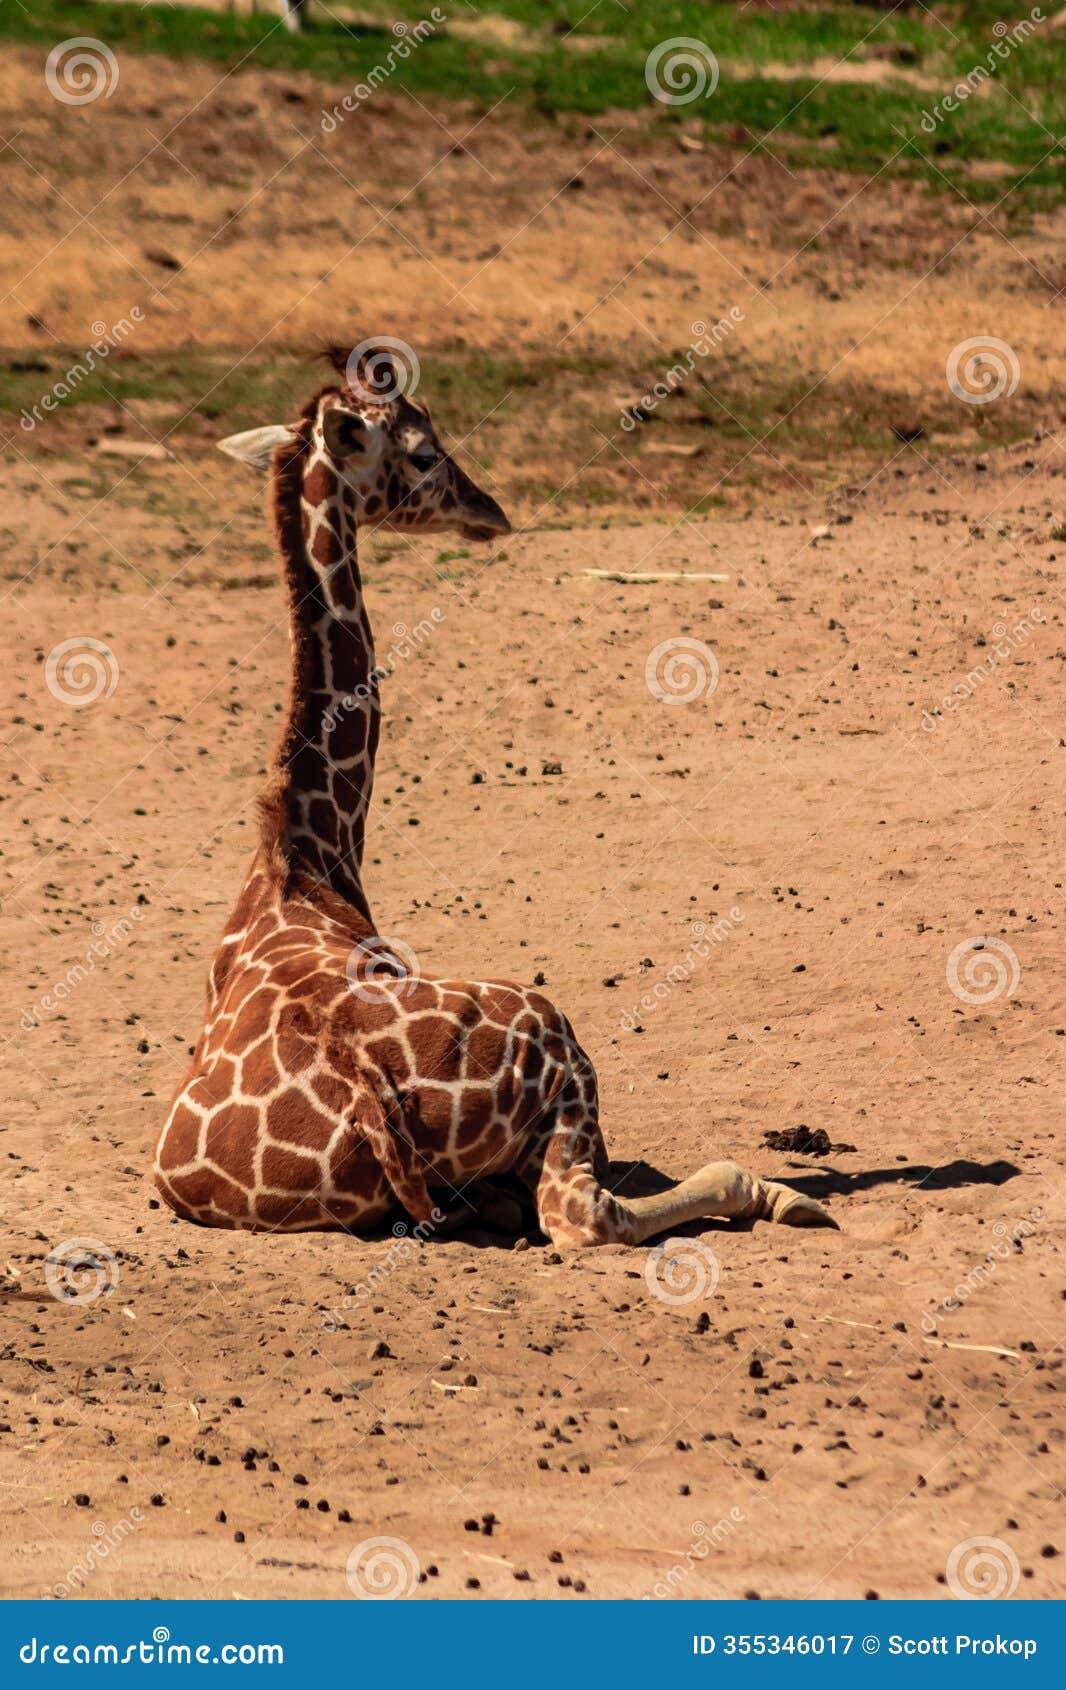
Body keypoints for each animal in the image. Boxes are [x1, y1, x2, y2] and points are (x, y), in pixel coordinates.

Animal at [153, 342, 837, 1246]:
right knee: (581, 1215)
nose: (491, 512)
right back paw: (782, 1194)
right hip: (554, 1032)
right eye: (423, 453)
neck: (303, 854)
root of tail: (367, 1099)